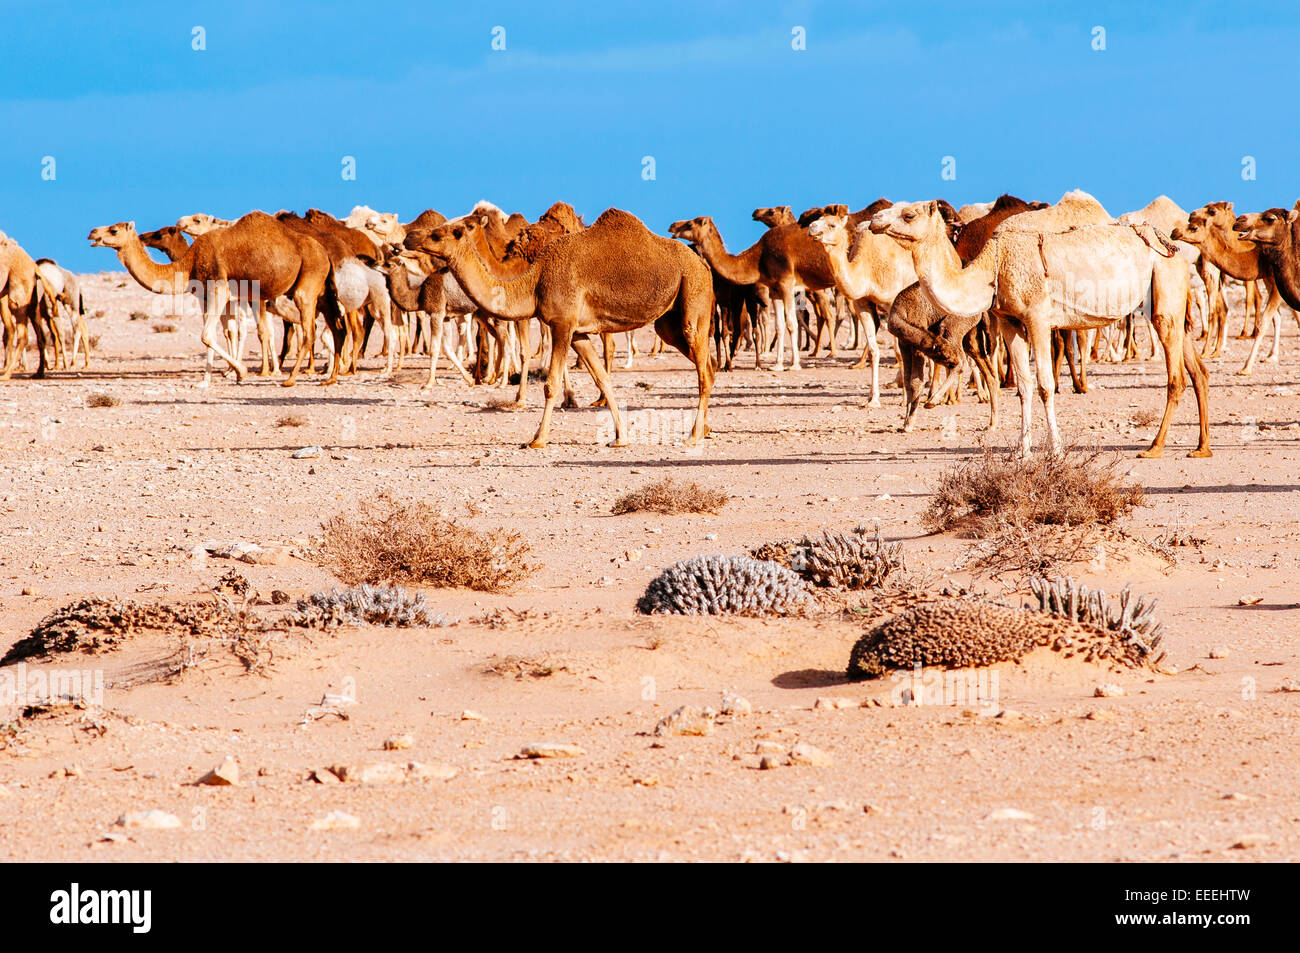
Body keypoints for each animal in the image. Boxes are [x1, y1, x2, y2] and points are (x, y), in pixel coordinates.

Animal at [89, 214, 333, 386]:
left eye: (114, 230)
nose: (92, 233)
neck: (189, 263)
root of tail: (325, 253)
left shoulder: (219, 288)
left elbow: (206, 335)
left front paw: (241, 372)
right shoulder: (205, 294)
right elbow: (214, 334)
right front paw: (205, 381)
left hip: (307, 284)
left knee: (309, 330)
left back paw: (291, 379)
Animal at [409, 209, 715, 448]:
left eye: (438, 235)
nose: (410, 238)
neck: (534, 282)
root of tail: (703, 265)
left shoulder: (562, 324)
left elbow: (551, 384)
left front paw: (537, 439)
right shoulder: (578, 333)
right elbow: (602, 378)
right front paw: (621, 437)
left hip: (693, 295)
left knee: (703, 373)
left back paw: (693, 435)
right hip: (669, 324)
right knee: (706, 366)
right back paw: (705, 429)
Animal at [870, 194, 1211, 458]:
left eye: (909, 214)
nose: (874, 220)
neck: (993, 265)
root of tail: (1169, 244)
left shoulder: (1038, 317)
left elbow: (1046, 384)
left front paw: (1056, 449)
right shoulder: (1009, 321)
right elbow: (1023, 386)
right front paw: (1022, 451)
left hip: (1164, 280)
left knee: (1176, 377)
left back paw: (1155, 447)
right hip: (1169, 298)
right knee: (1197, 369)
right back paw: (1201, 447)